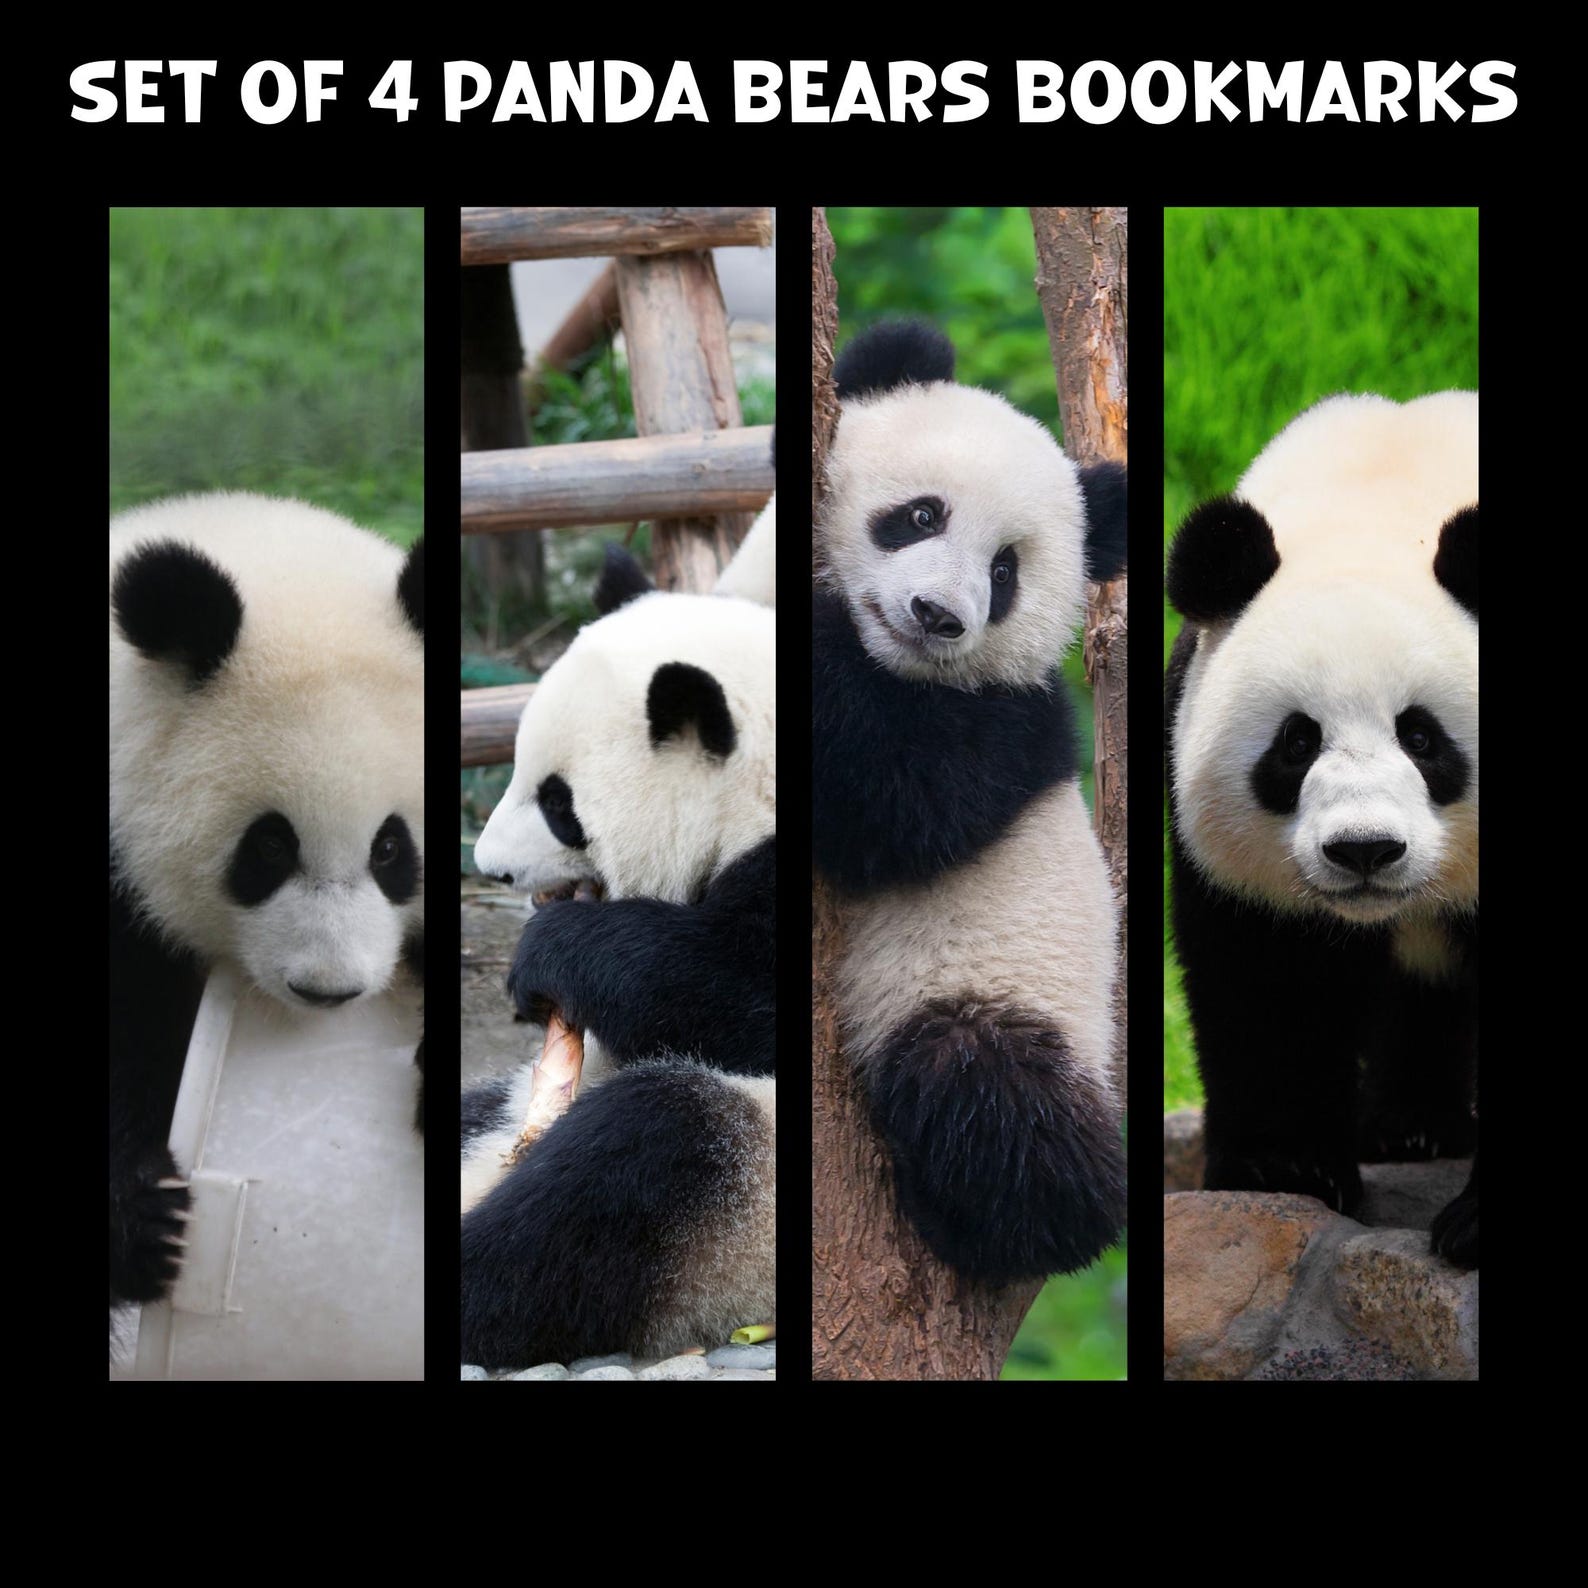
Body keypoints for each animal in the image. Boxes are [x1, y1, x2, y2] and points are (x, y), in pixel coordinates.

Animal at [462, 545, 775, 1369]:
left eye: (558, 803)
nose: (488, 869)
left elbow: (738, 995)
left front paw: (547, 956)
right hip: (505, 1101)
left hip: (745, 1208)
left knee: (626, 1167)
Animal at [813, 320, 1128, 1286]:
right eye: (923, 515)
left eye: (1004, 571)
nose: (936, 615)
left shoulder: (1009, 724)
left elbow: (902, 799)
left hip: (1001, 991)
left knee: (994, 1095)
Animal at [1164, 392, 1479, 1267]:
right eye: (1296, 743)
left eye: (1424, 738)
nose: (1365, 850)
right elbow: (1270, 979)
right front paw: (1286, 1168)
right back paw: (1410, 1125)